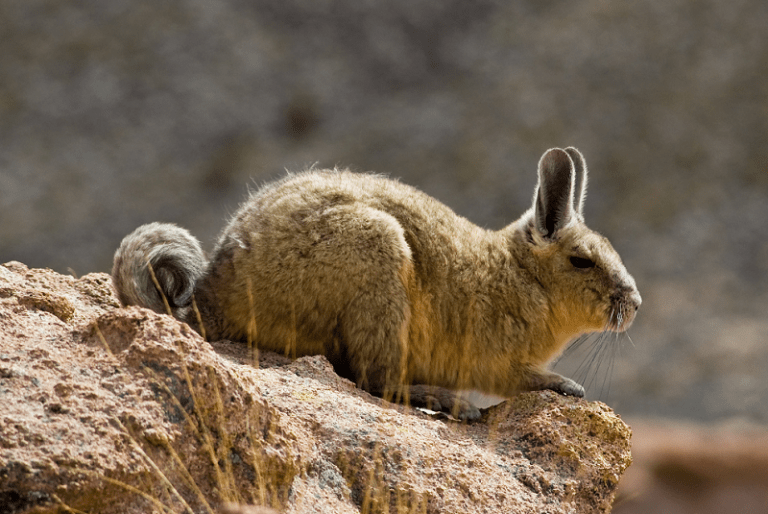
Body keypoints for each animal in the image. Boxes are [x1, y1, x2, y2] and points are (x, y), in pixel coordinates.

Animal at [112, 147, 641, 420]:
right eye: (582, 261)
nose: (635, 302)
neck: (518, 278)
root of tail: (209, 297)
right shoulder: (496, 360)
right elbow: (523, 378)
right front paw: (567, 385)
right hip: (379, 259)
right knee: (373, 378)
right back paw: (448, 402)